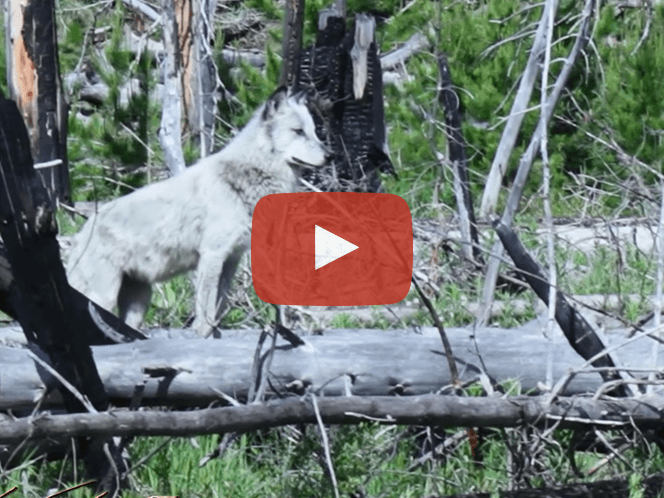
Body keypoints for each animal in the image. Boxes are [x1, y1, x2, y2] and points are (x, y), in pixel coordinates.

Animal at [67, 87, 328, 337]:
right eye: (298, 131)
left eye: (314, 131)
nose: (330, 155)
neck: (242, 181)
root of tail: (80, 235)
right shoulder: (212, 256)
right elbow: (205, 317)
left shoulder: (230, 260)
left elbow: (217, 312)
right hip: (104, 297)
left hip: (138, 304)